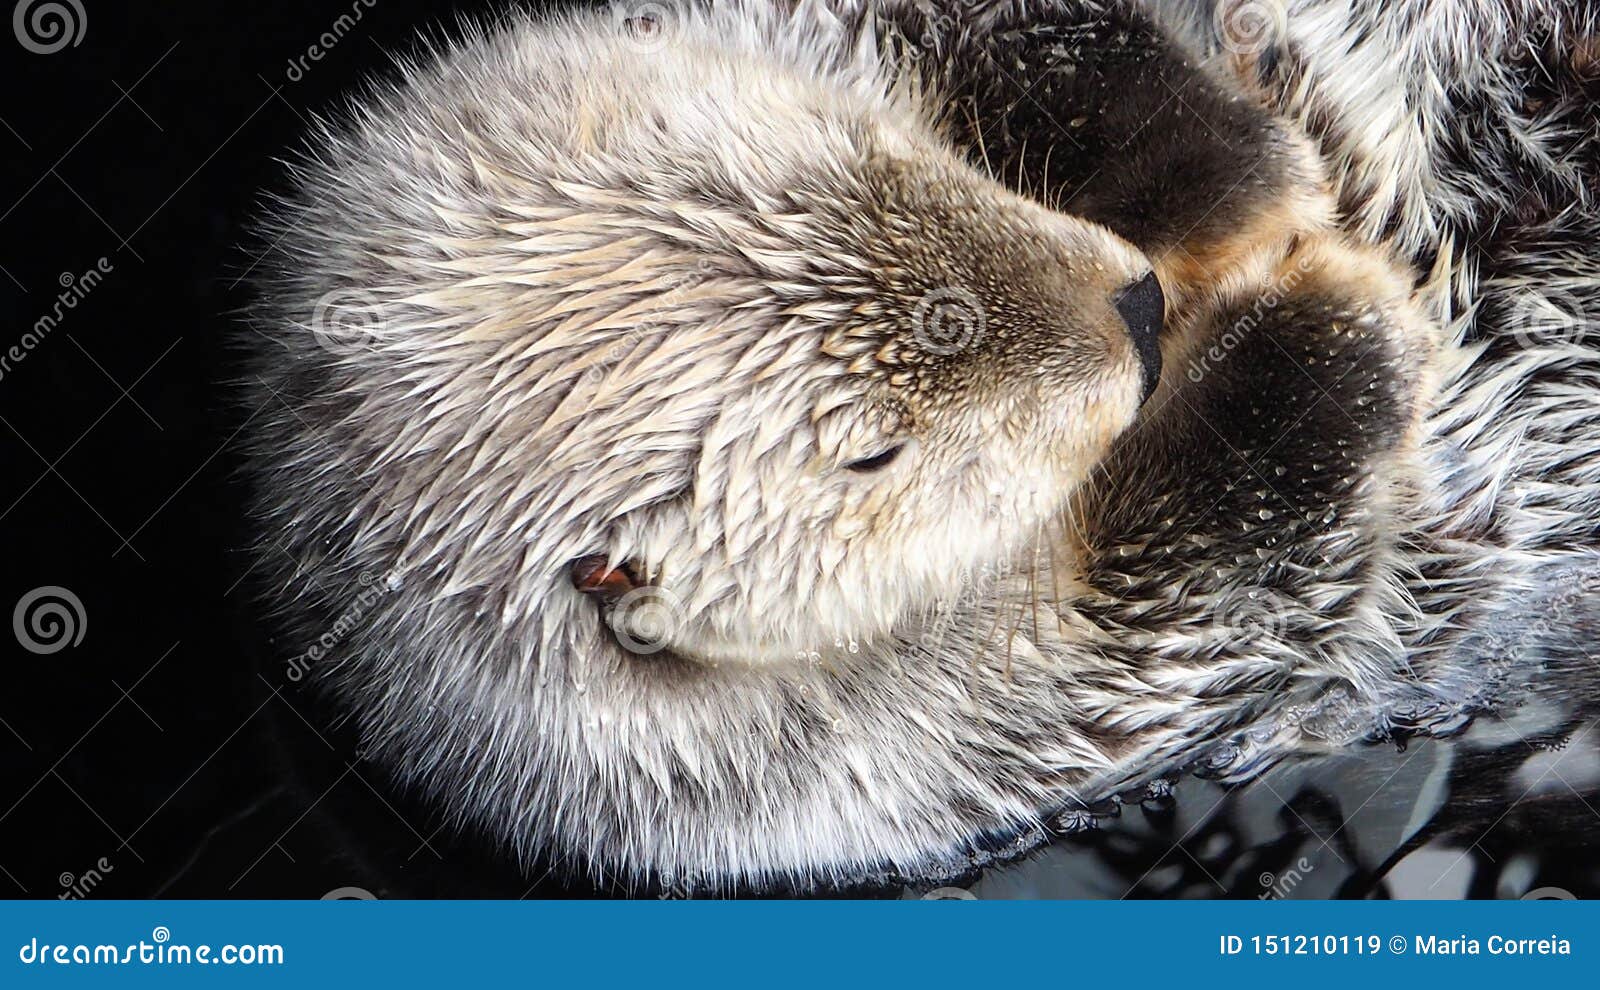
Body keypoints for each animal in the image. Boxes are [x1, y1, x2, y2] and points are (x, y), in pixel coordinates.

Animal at [241, 0, 1600, 892]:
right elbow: (1210, 589)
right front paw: (1321, 317)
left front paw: (1221, 162)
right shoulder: (943, 742)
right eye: (873, 456)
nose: (1137, 308)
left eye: (883, 156)